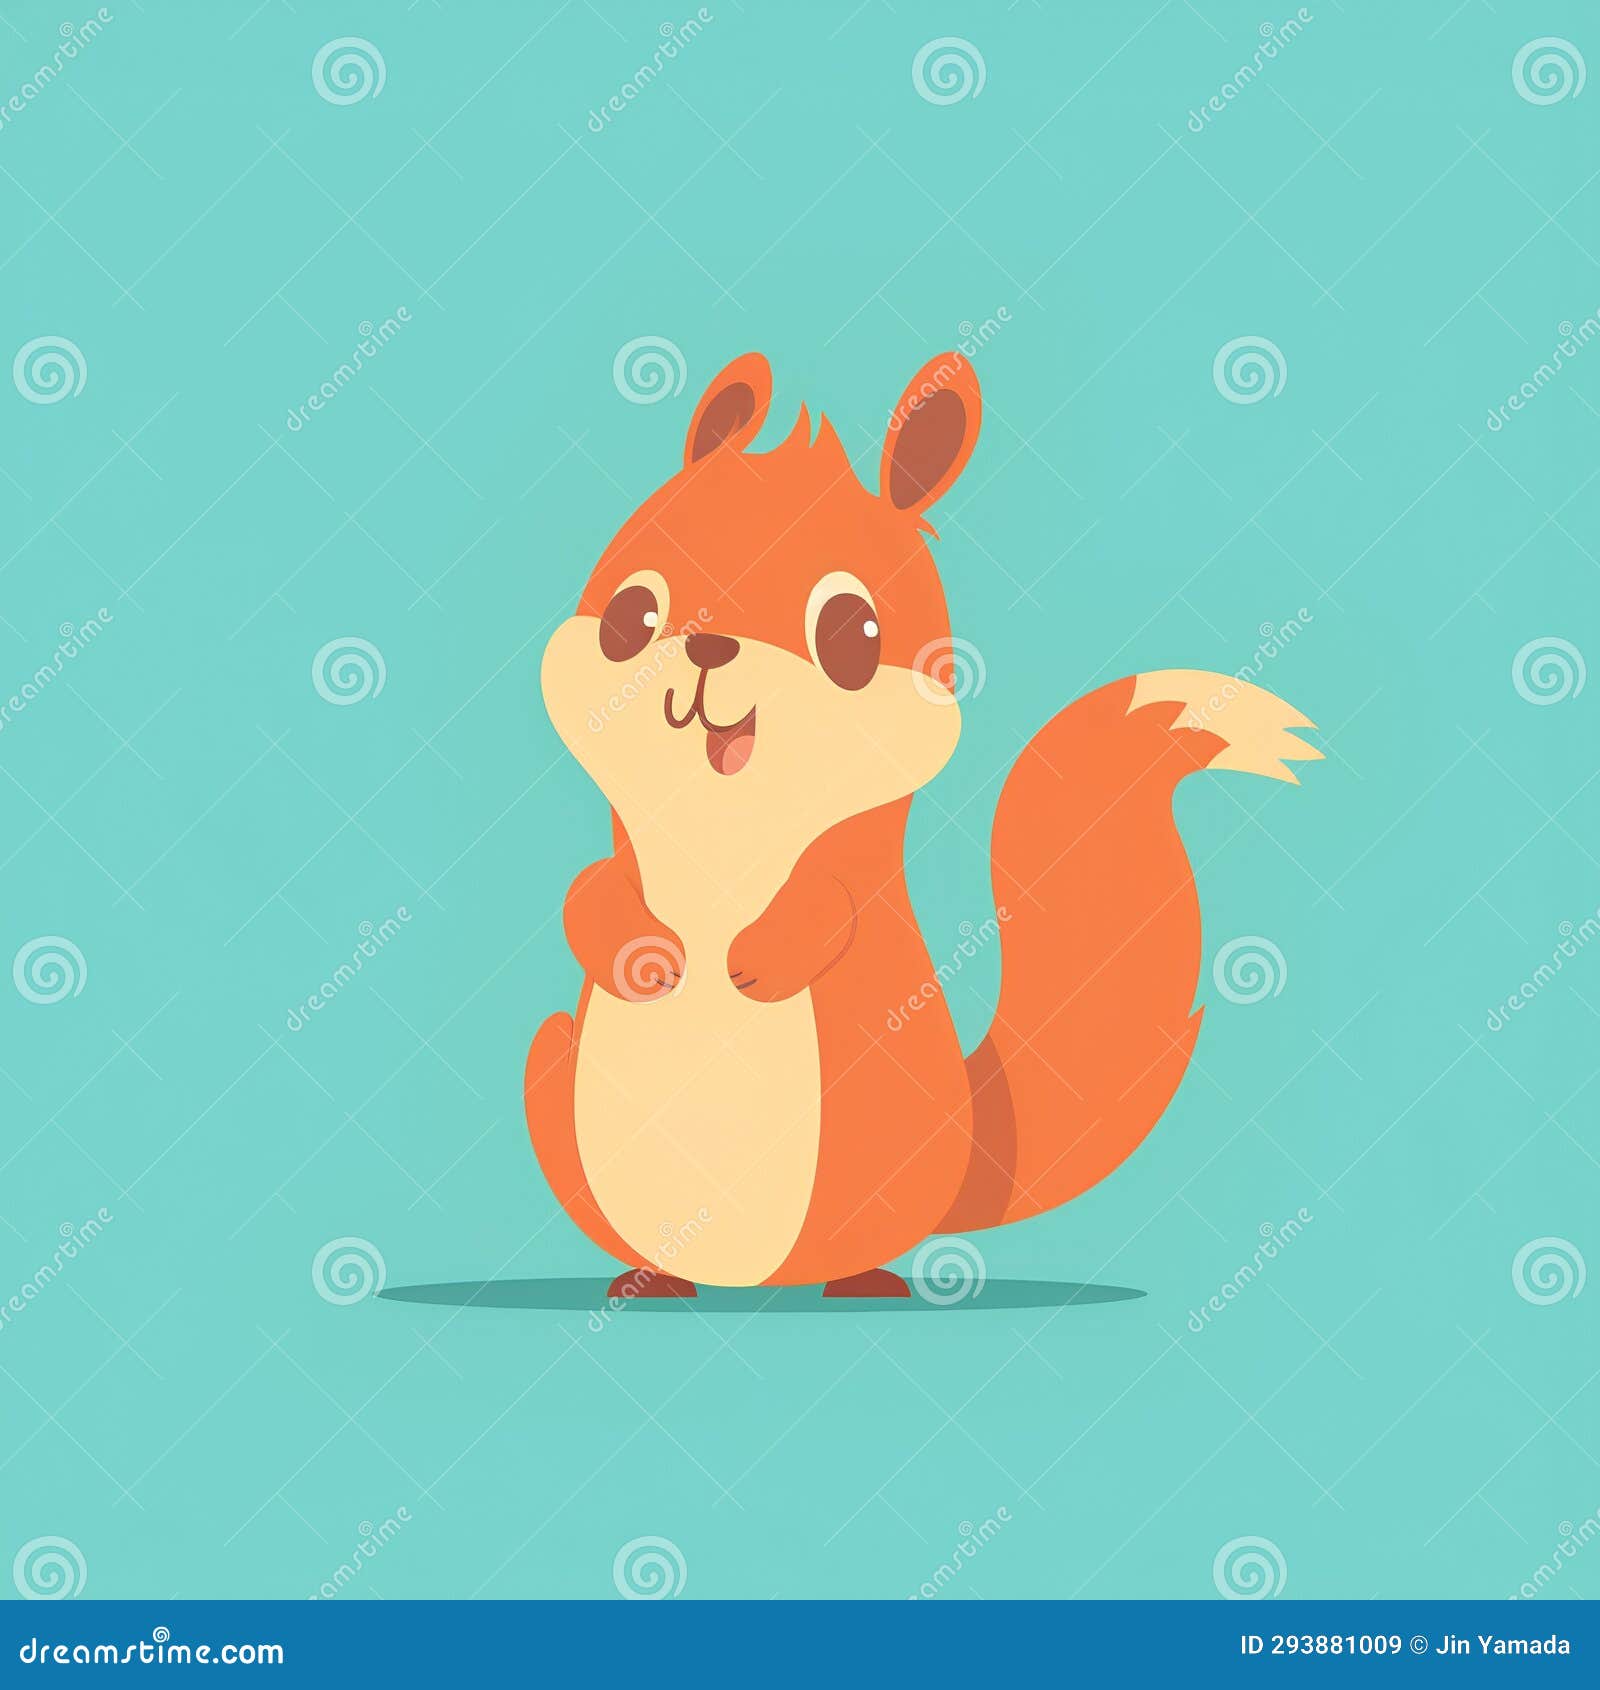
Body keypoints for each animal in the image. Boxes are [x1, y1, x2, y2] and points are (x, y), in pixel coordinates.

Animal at [527, 350, 1320, 1301]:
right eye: (632, 613)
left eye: (852, 633)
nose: (709, 646)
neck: (724, 833)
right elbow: (587, 891)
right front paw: (646, 957)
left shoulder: (845, 886)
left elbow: (834, 909)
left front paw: (759, 956)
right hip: (551, 1070)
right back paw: (652, 1283)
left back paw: (862, 1284)